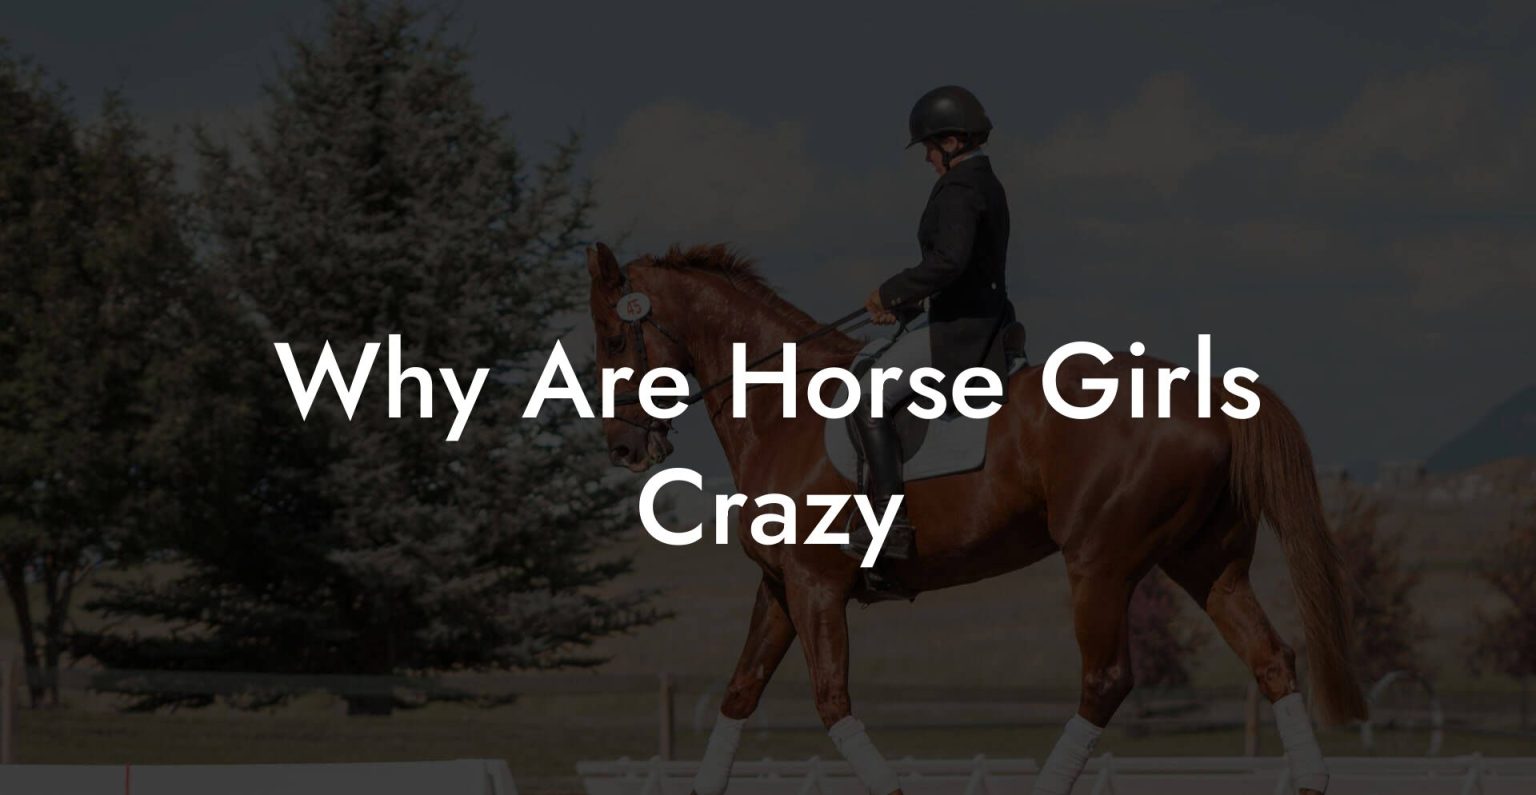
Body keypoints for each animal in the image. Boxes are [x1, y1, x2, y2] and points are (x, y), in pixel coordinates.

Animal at [583, 242, 1366, 795]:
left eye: (615, 341)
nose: (622, 448)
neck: (782, 406)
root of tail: (1209, 395)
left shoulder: (815, 587)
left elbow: (832, 702)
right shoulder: (781, 586)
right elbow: (741, 691)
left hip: (1100, 563)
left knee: (1106, 680)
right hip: (1207, 562)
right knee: (1271, 657)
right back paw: (1310, 779)